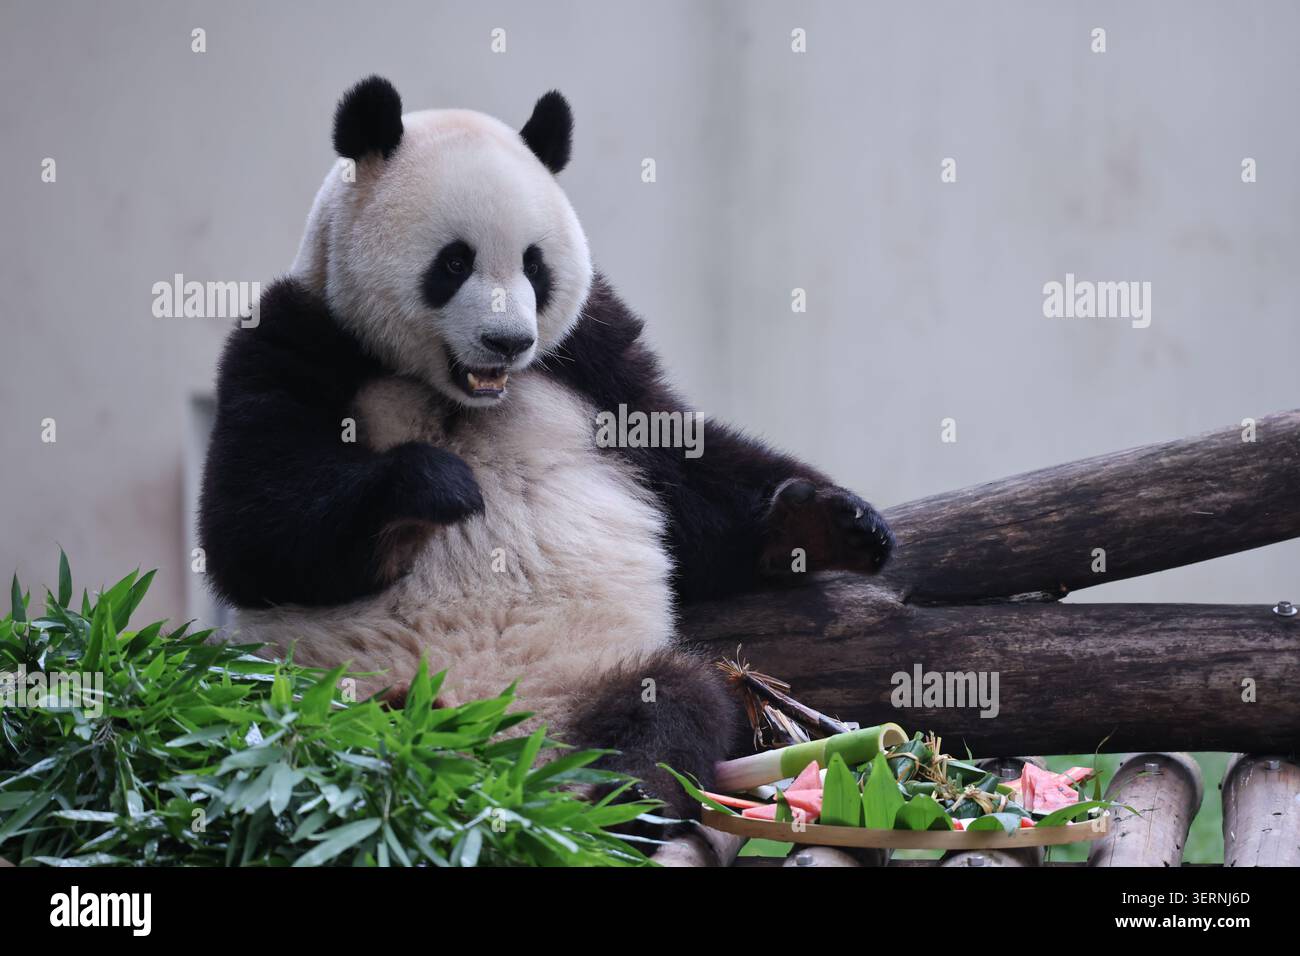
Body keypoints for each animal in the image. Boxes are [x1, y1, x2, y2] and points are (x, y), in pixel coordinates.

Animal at [198, 76, 894, 832]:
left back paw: (623, 798)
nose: (508, 342)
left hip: (588, 680)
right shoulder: (297, 335)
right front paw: (432, 489)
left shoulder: (591, 357)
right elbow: (255, 530)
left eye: (535, 265)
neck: (464, 394)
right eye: (454, 262)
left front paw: (834, 523)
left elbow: (686, 472)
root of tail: (509, 765)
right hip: (303, 692)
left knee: (679, 701)